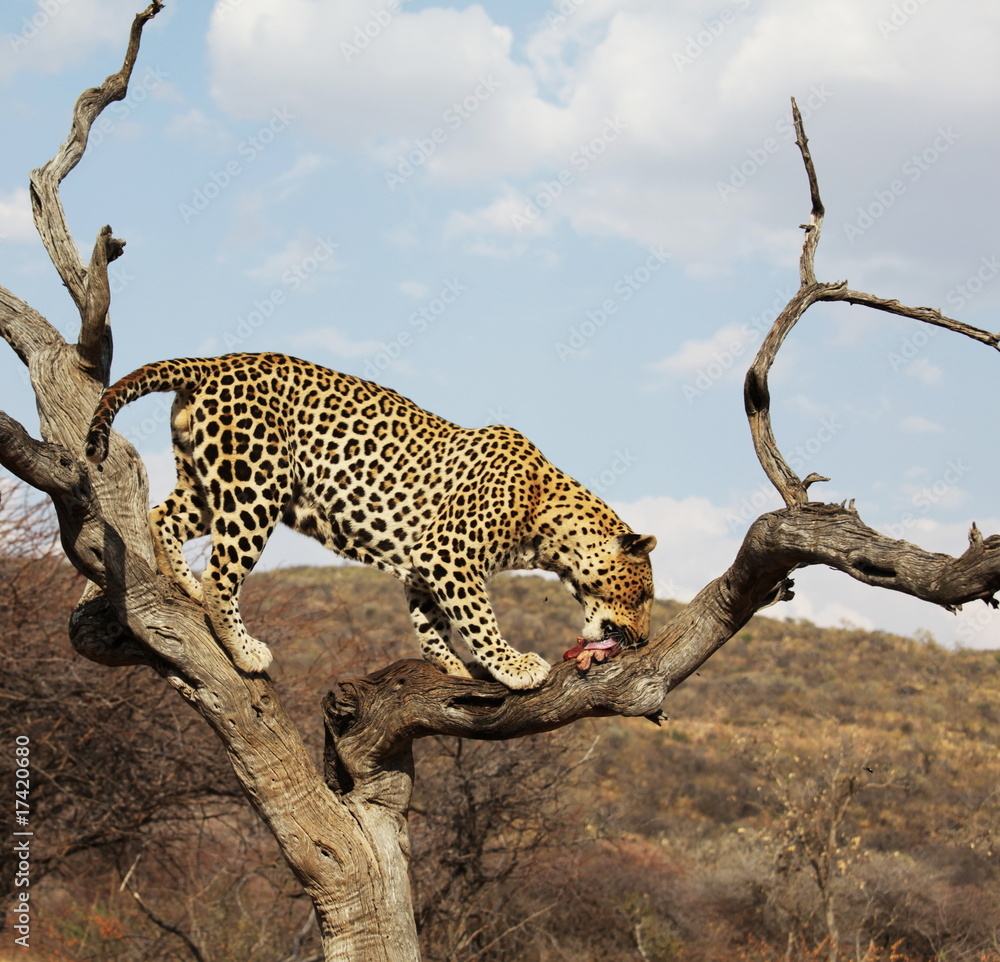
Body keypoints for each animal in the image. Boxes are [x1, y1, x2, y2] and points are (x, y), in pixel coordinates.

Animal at [84, 352, 657, 689]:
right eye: (645, 595)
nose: (645, 639)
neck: (549, 524)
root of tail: (215, 361)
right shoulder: (450, 554)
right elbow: (480, 618)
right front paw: (513, 666)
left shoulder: (424, 566)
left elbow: (431, 625)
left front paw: (450, 666)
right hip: (255, 487)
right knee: (222, 575)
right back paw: (243, 648)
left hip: (209, 483)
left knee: (161, 517)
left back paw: (179, 584)